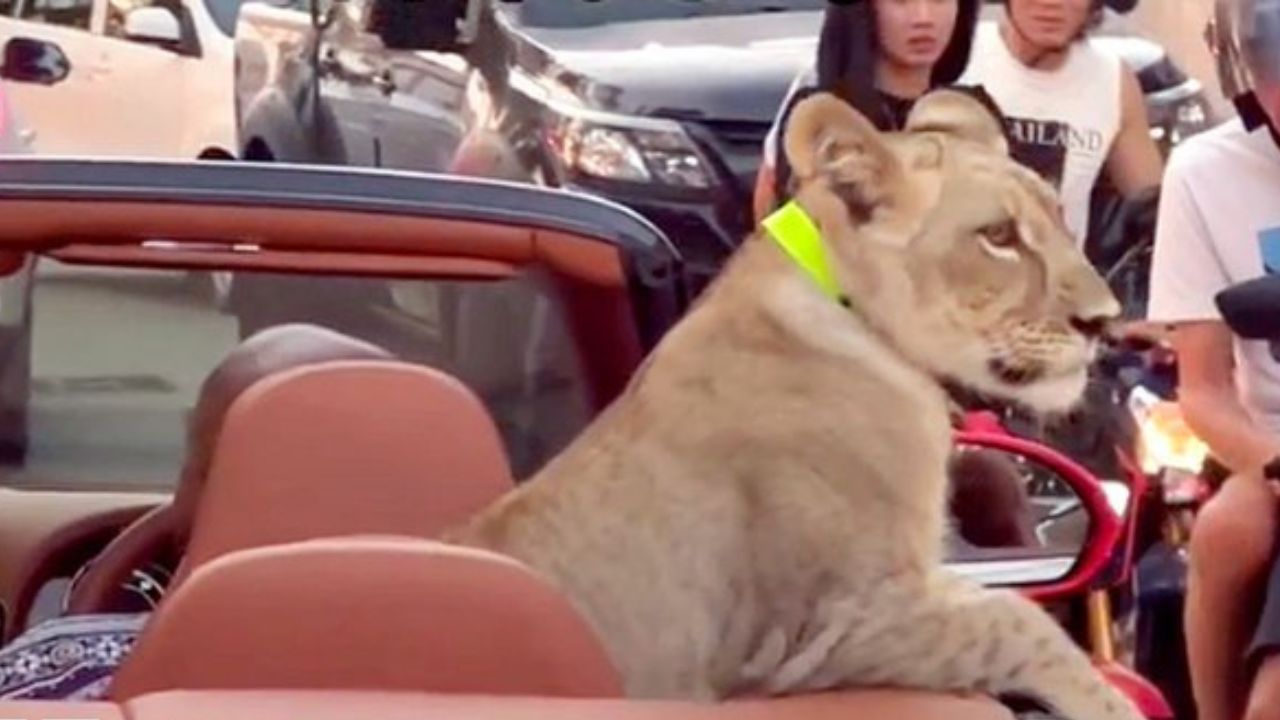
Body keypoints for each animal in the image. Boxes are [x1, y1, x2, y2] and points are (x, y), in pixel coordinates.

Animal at [444, 89, 1136, 720]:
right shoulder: (817, 629)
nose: (1105, 321)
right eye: (997, 236)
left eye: (1059, 217)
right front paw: (1112, 705)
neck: (856, 316)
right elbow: (1015, 620)